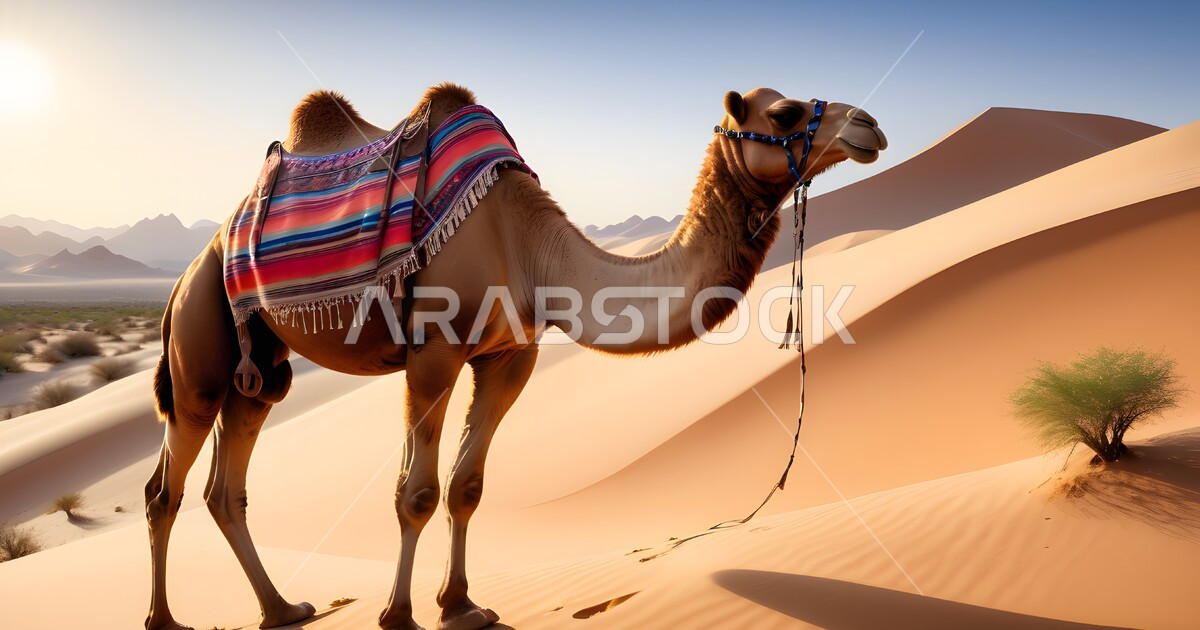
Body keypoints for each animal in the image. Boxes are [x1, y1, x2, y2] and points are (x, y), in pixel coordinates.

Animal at [144, 83, 886, 630]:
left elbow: (467, 487)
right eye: (784, 112)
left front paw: (461, 605)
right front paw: (399, 615)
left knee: (226, 482)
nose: (870, 124)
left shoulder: (510, 357)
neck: (528, 248)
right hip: (202, 332)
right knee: (165, 485)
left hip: (259, 366)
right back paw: (166, 619)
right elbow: (417, 492)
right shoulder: (435, 353)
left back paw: (282, 609)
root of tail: (194, 264)